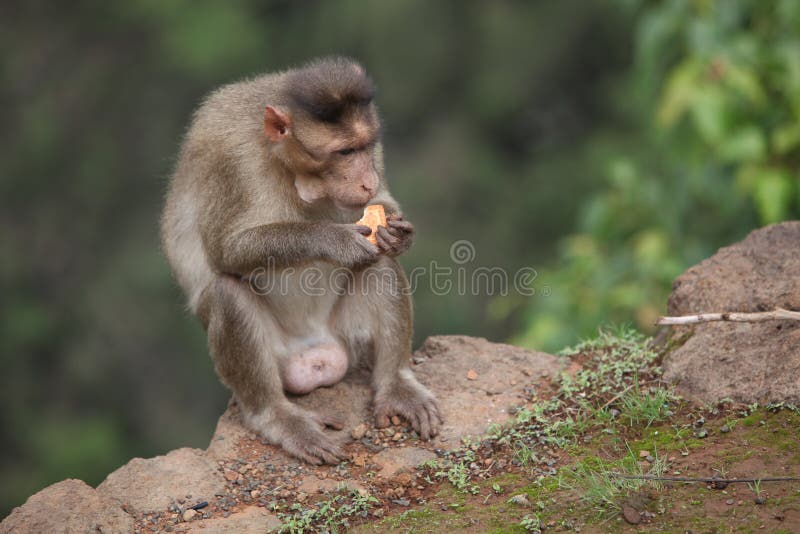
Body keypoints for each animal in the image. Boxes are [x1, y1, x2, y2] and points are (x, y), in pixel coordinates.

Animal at [161, 57, 442, 464]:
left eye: (365, 147)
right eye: (344, 153)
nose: (366, 180)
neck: (286, 165)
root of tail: (316, 355)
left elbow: (382, 208)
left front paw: (398, 233)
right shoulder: (229, 160)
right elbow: (224, 249)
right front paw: (333, 239)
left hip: (347, 336)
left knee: (381, 264)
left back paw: (397, 386)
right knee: (228, 291)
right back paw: (278, 416)